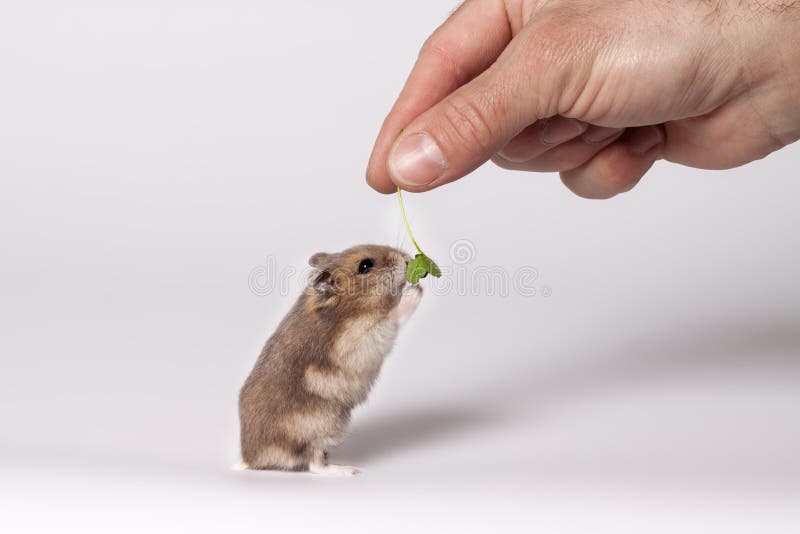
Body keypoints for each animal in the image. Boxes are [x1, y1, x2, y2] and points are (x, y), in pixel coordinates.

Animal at [237, 244, 422, 476]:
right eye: (365, 266)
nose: (407, 260)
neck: (346, 308)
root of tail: (250, 458)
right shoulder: (362, 338)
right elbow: (393, 317)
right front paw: (416, 291)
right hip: (318, 428)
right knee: (315, 465)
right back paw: (349, 470)